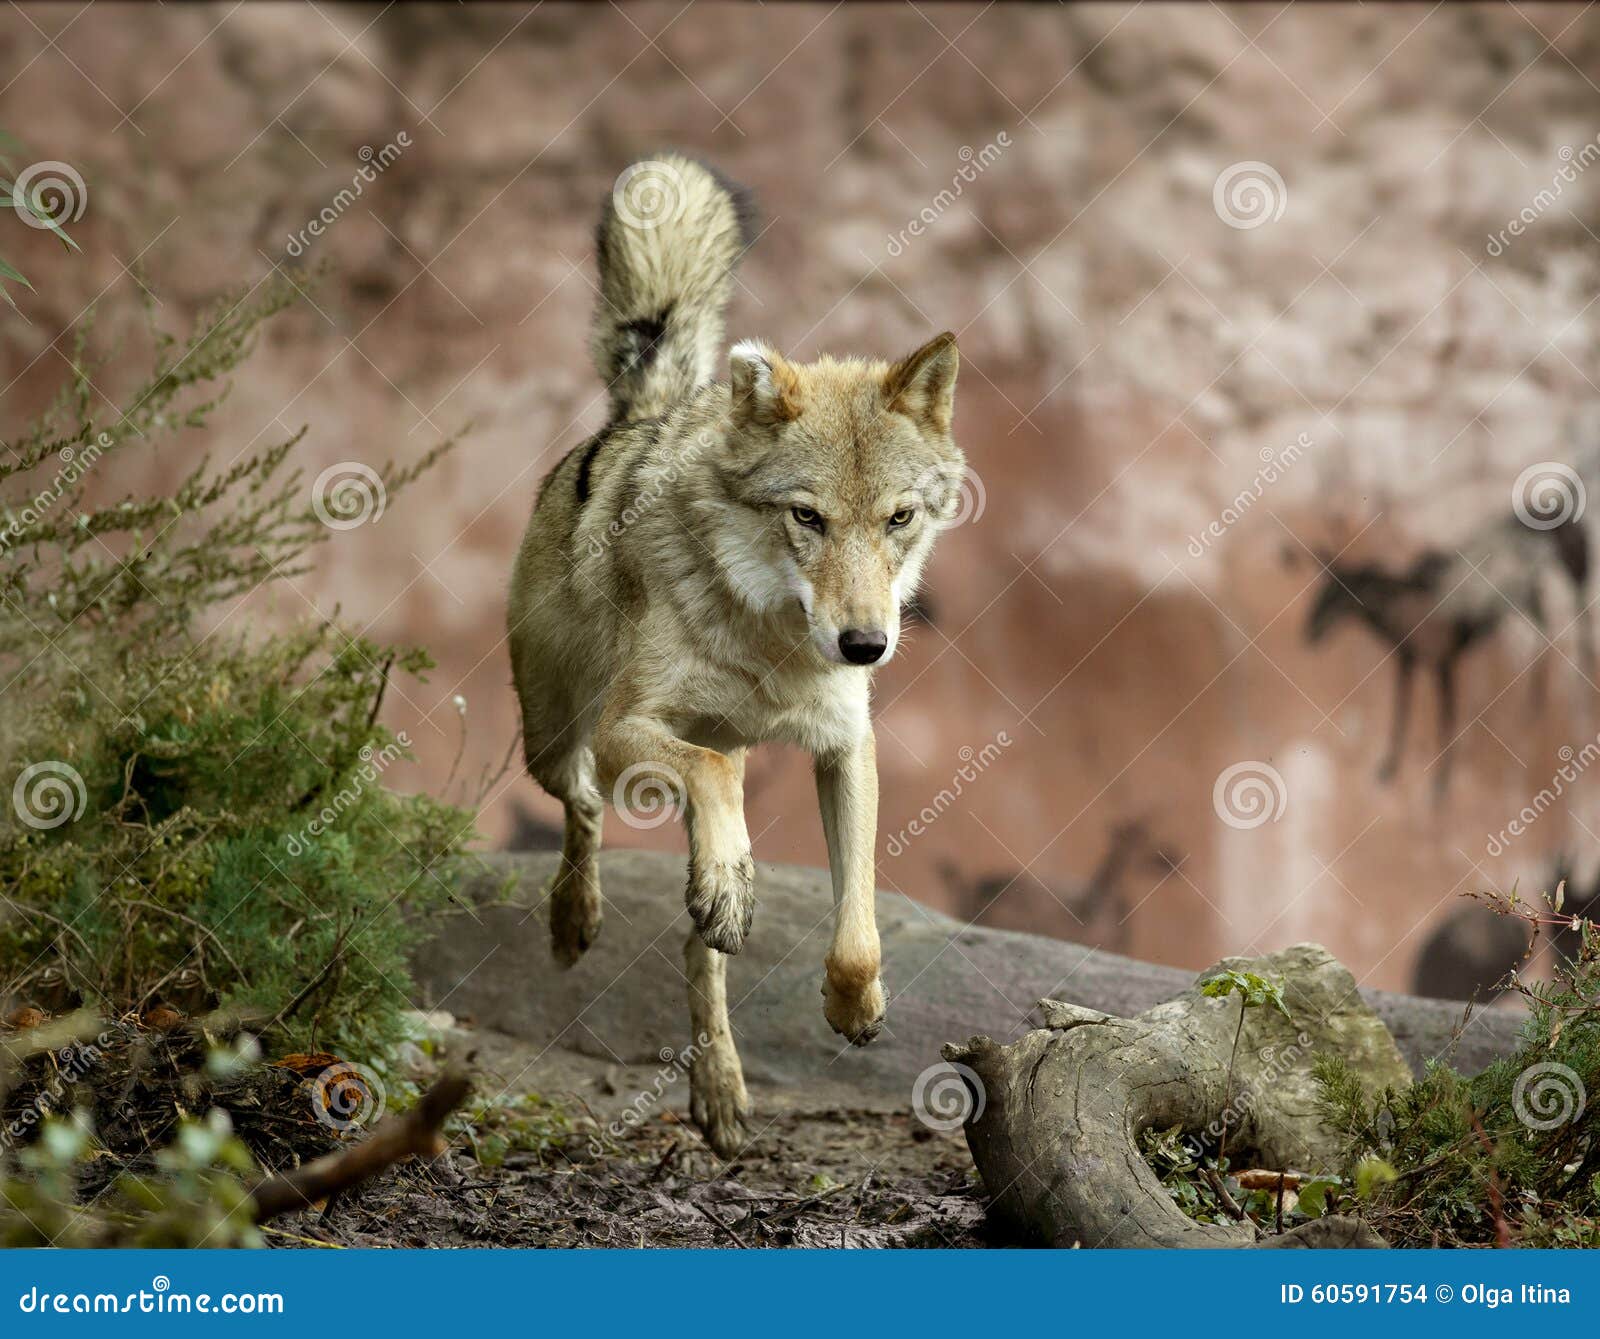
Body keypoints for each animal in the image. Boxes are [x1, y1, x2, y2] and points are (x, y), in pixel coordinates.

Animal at [507, 154, 965, 1156]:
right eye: (807, 517)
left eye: (898, 519)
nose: (866, 643)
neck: (771, 637)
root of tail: (647, 412)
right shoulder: (630, 728)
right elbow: (704, 779)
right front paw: (723, 884)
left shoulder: (846, 745)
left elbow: (858, 927)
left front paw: (853, 1007)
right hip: (555, 738)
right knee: (586, 806)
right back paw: (576, 920)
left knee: (695, 939)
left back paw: (718, 1089)